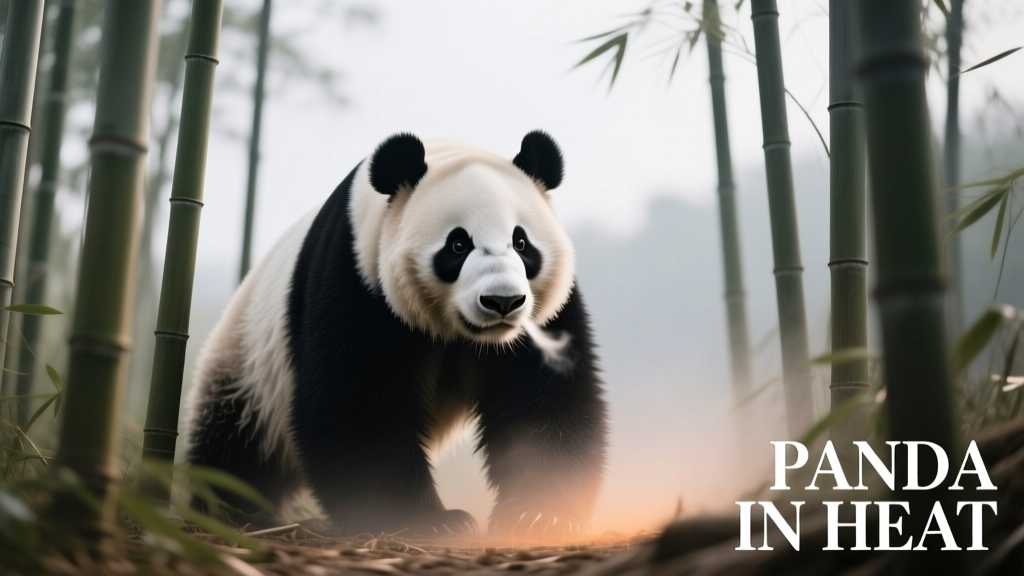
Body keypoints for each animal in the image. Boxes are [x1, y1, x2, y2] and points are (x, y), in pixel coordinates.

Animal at [184, 131, 607, 539]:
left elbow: (546, 401)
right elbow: (358, 408)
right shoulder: (356, 279)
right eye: (458, 244)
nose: (503, 301)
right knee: (236, 447)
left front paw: (539, 516)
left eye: (521, 243)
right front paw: (428, 521)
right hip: (246, 368)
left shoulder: (545, 315)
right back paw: (230, 509)